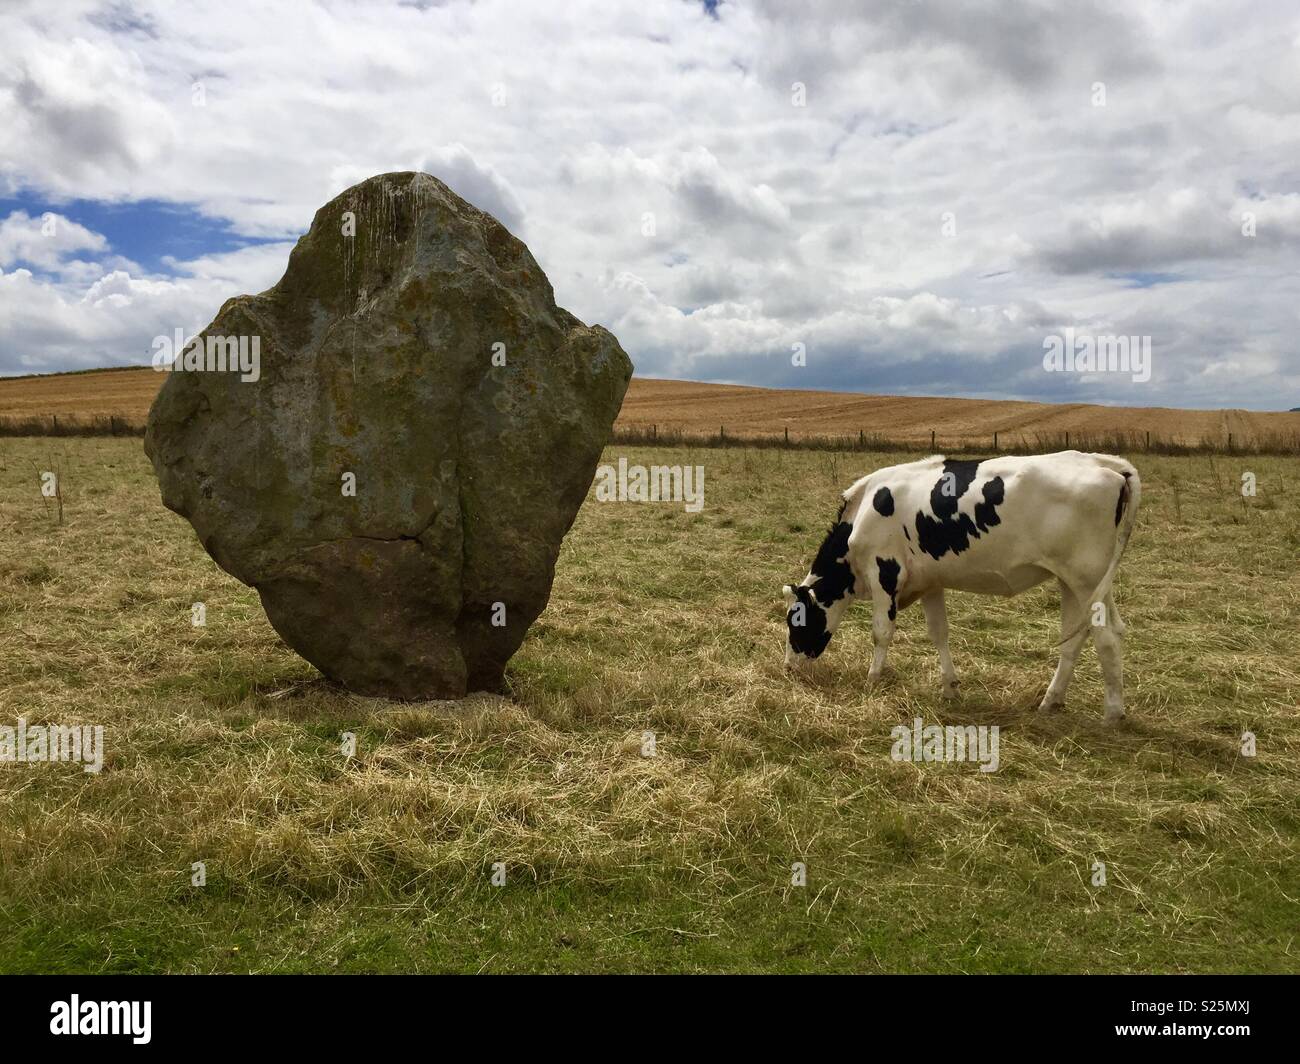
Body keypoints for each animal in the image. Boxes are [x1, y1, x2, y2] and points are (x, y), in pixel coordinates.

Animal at [782, 451, 1141, 723]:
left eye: (796, 620)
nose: (789, 668)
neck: (865, 512)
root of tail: (1102, 463)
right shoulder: (930, 582)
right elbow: (939, 632)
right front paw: (950, 687)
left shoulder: (885, 572)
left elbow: (881, 632)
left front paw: (872, 679)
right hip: (1075, 582)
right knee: (1077, 639)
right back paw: (1051, 701)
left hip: (1086, 580)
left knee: (1106, 639)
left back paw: (1112, 714)